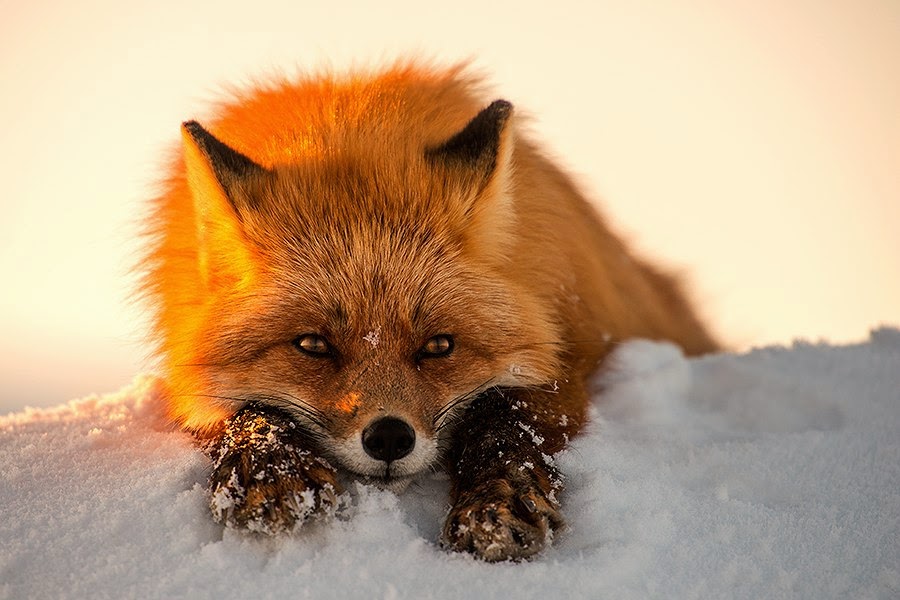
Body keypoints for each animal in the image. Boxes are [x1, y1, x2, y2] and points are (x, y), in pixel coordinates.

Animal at [141, 60, 718, 562]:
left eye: (439, 346)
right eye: (312, 345)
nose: (389, 437)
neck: (354, 127)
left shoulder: (565, 361)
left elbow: (504, 418)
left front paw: (497, 502)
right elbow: (251, 413)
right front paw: (269, 471)